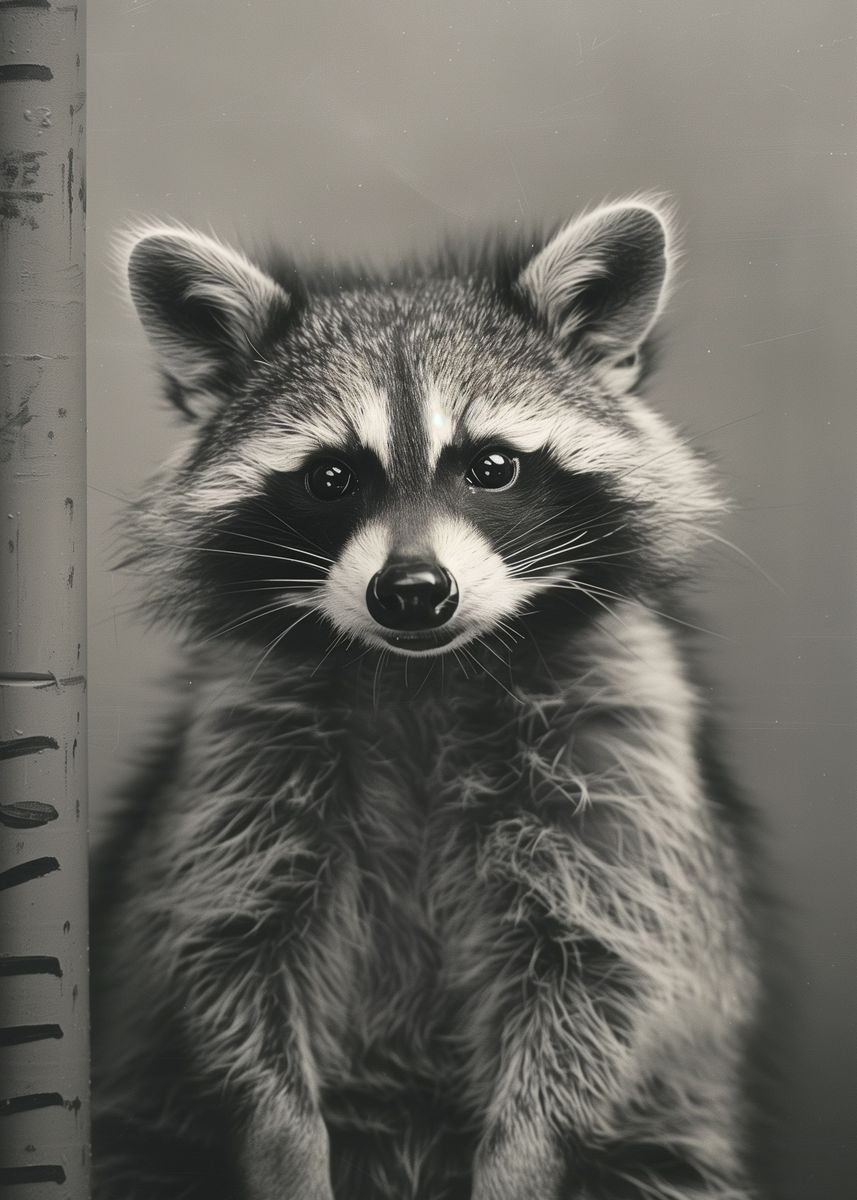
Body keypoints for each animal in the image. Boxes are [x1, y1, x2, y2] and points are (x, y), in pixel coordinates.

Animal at [91, 198, 765, 1200]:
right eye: (332, 478)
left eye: (490, 466)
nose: (412, 592)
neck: (424, 674)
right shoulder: (245, 755)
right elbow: (230, 965)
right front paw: (285, 1146)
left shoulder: (619, 744)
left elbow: (600, 978)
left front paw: (523, 1158)